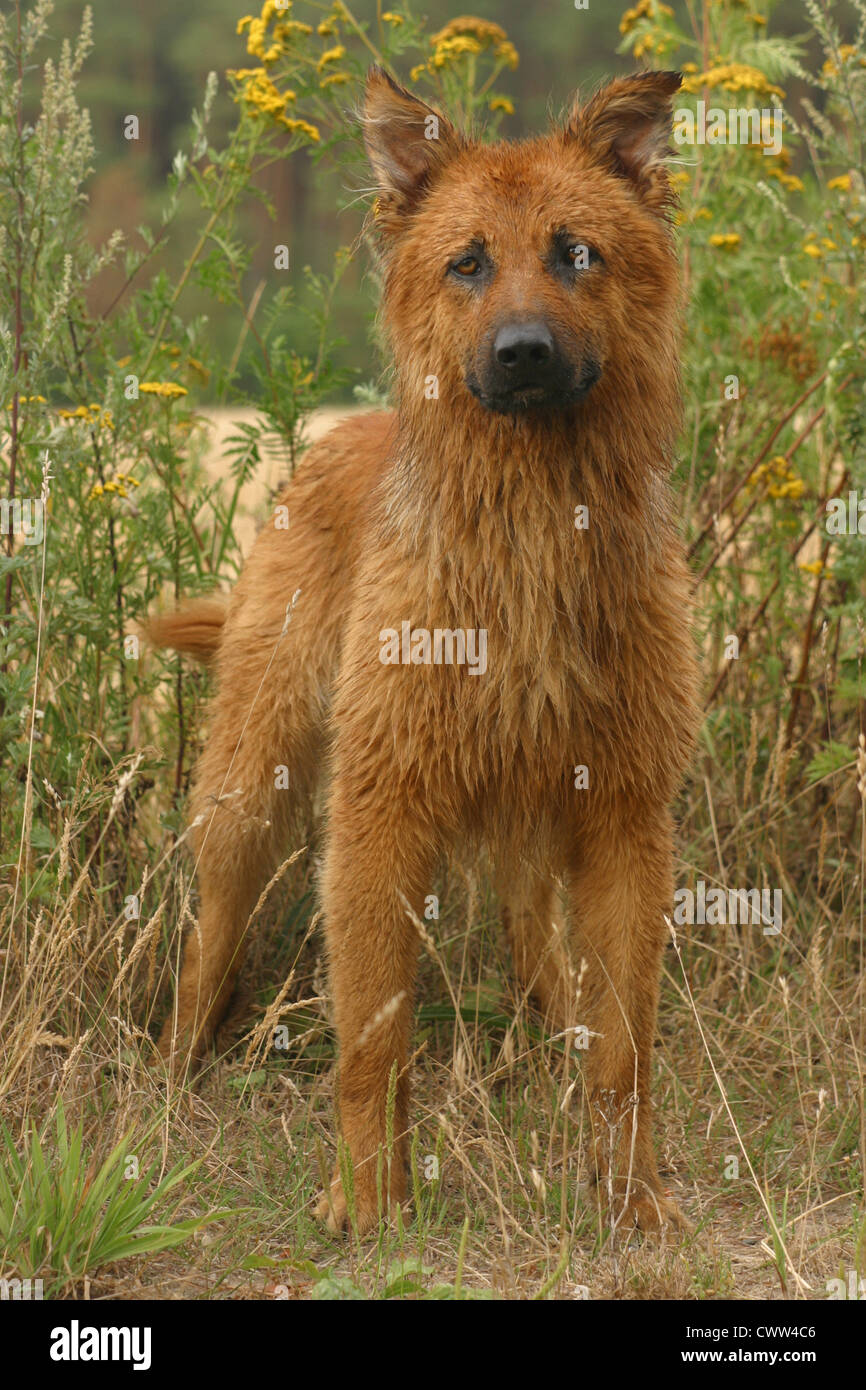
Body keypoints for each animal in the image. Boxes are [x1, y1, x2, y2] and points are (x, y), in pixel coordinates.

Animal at [146, 65, 701, 1237]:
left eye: (576, 252)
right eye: (468, 263)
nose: (522, 352)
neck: (534, 527)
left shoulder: (623, 817)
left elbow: (626, 1051)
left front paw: (630, 1197)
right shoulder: (377, 812)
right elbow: (372, 1041)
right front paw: (367, 1199)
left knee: (541, 944)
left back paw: (549, 1035)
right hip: (248, 789)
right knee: (208, 938)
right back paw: (171, 1077)